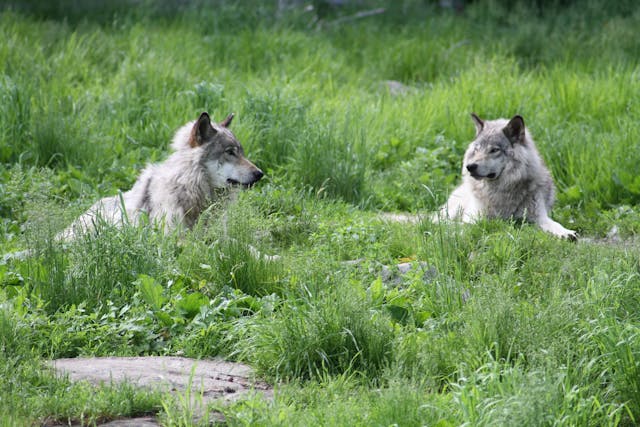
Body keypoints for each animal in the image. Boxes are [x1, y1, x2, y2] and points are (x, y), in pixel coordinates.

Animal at [438, 113, 577, 240]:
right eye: (477, 150)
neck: (501, 190)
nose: (470, 166)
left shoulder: (539, 217)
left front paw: (566, 232)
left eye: (494, 150)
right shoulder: (476, 217)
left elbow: (555, 224)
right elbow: (471, 225)